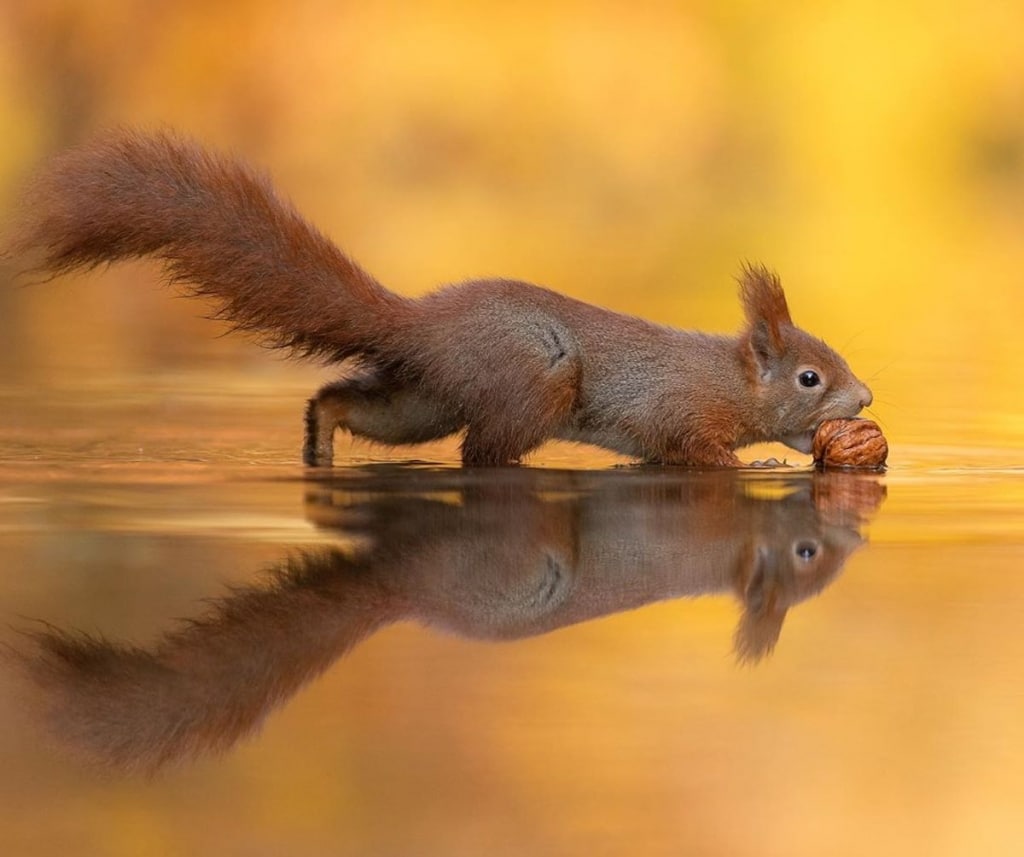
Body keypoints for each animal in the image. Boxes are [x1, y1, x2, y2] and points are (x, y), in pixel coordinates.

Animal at [9, 129, 873, 467]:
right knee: (481, 454)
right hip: (529, 382)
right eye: (810, 377)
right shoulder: (680, 414)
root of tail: (420, 323)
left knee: (346, 402)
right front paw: (762, 463)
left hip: (421, 400)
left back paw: (319, 444)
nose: (865, 400)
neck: (726, 376)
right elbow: (699, 455)